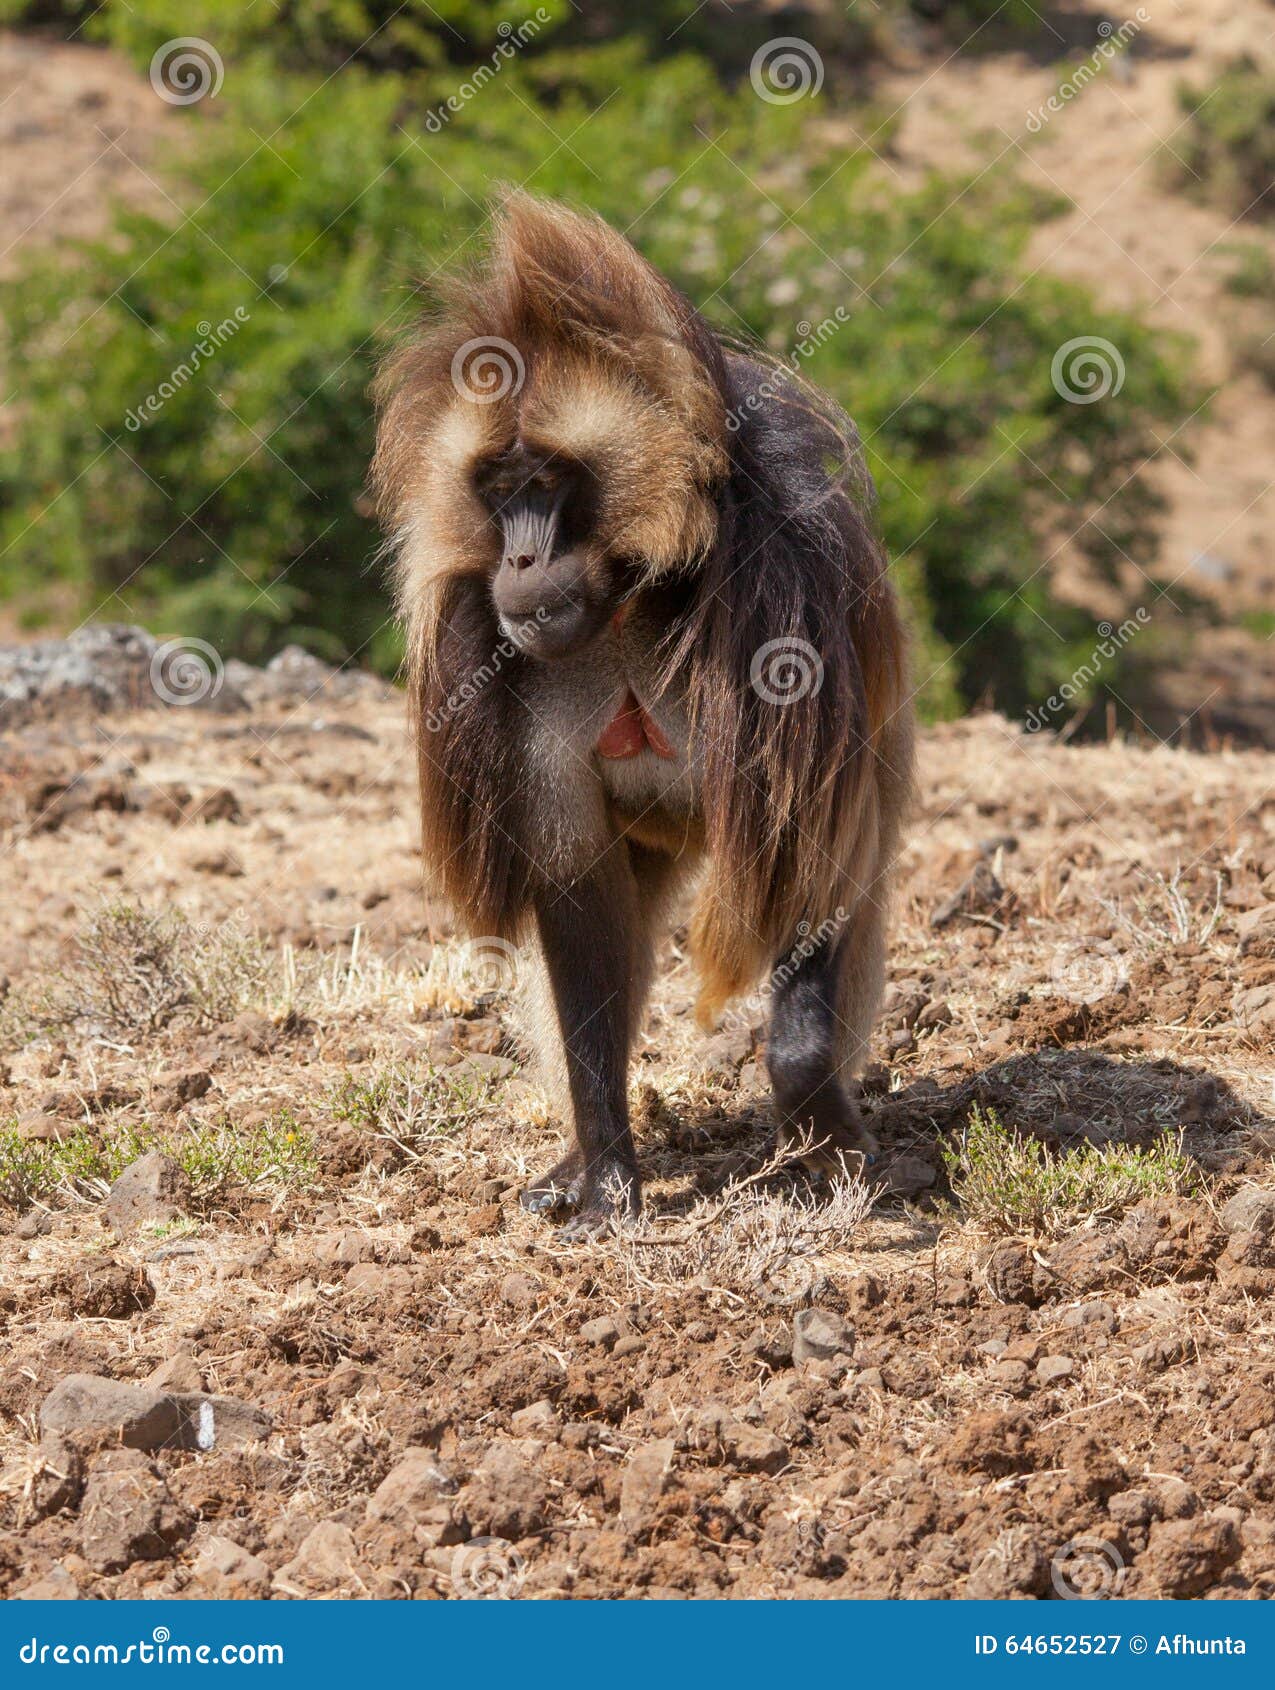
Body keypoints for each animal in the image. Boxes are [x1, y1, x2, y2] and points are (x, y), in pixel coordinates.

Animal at [373, 193, 914, 1239]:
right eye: (497, 490)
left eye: (546, 483)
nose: (521, 563)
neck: (633, 599)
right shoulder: (512, 671)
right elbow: (576, 907)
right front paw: (609, 1181)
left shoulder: (783, 599)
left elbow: (804, 854)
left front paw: (828, 1144)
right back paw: (570, 1162)